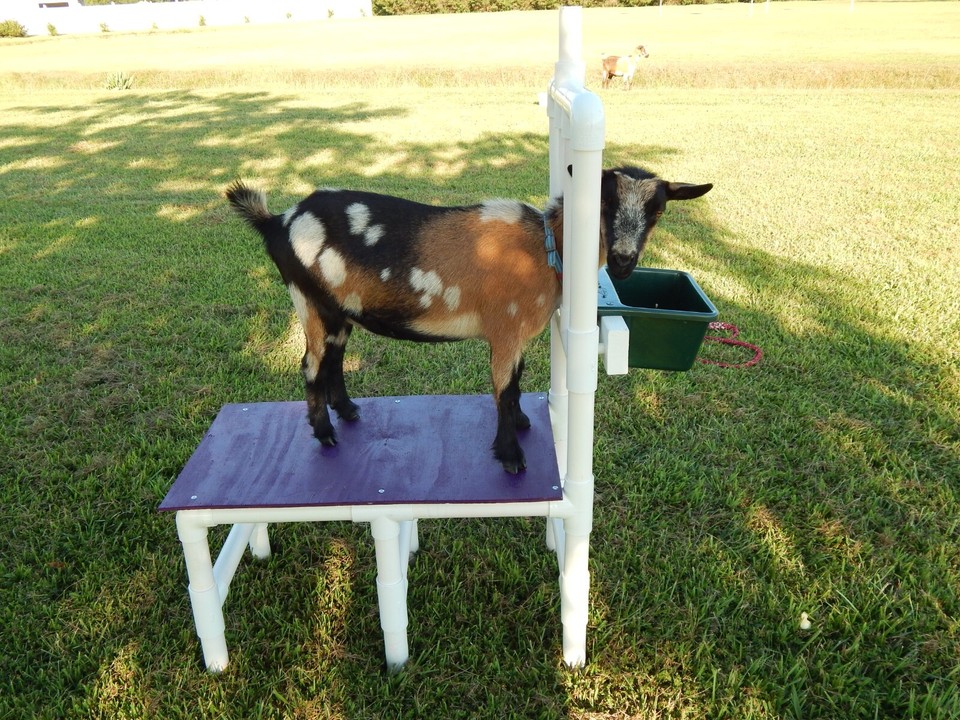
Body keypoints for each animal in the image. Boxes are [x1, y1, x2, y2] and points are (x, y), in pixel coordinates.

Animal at [225, 167, 711, 474]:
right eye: (605, 202)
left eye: (657, 210)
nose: (624, 261)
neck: (546, 246)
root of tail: (278, 222)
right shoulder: (506, 328)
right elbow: (502, 388)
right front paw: (511, 456)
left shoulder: (516, 336)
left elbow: (517, 382)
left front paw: (521, 424)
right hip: (313, 304)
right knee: (310, 365)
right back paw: (325, 434)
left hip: (340, 310)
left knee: (333, 360)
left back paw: (348, 412)